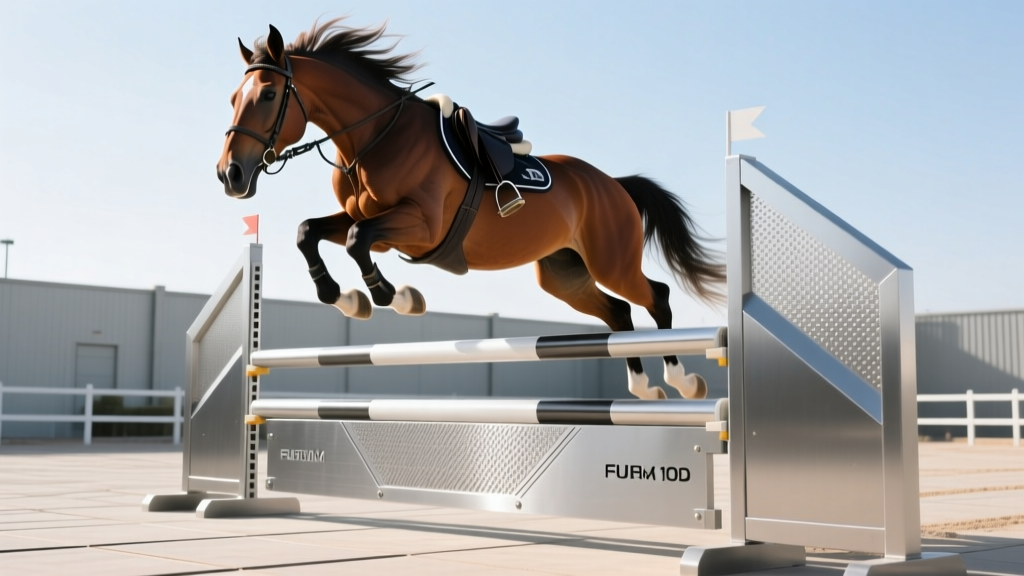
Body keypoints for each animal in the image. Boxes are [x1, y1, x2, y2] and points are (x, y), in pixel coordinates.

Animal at [215, 19, 725, 400]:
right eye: (233, 98)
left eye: (267, 95)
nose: (230, 175)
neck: (374, 137)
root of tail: (615, 185)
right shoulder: (367, 220)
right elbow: (309, 231)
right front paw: (345, 298)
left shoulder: (420, 226)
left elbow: (359, 241)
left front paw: (396, 296)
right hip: (564, 275)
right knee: (618, 313)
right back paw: (642, 386)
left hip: (611, 262)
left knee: (655, 296)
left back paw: (681, 381)